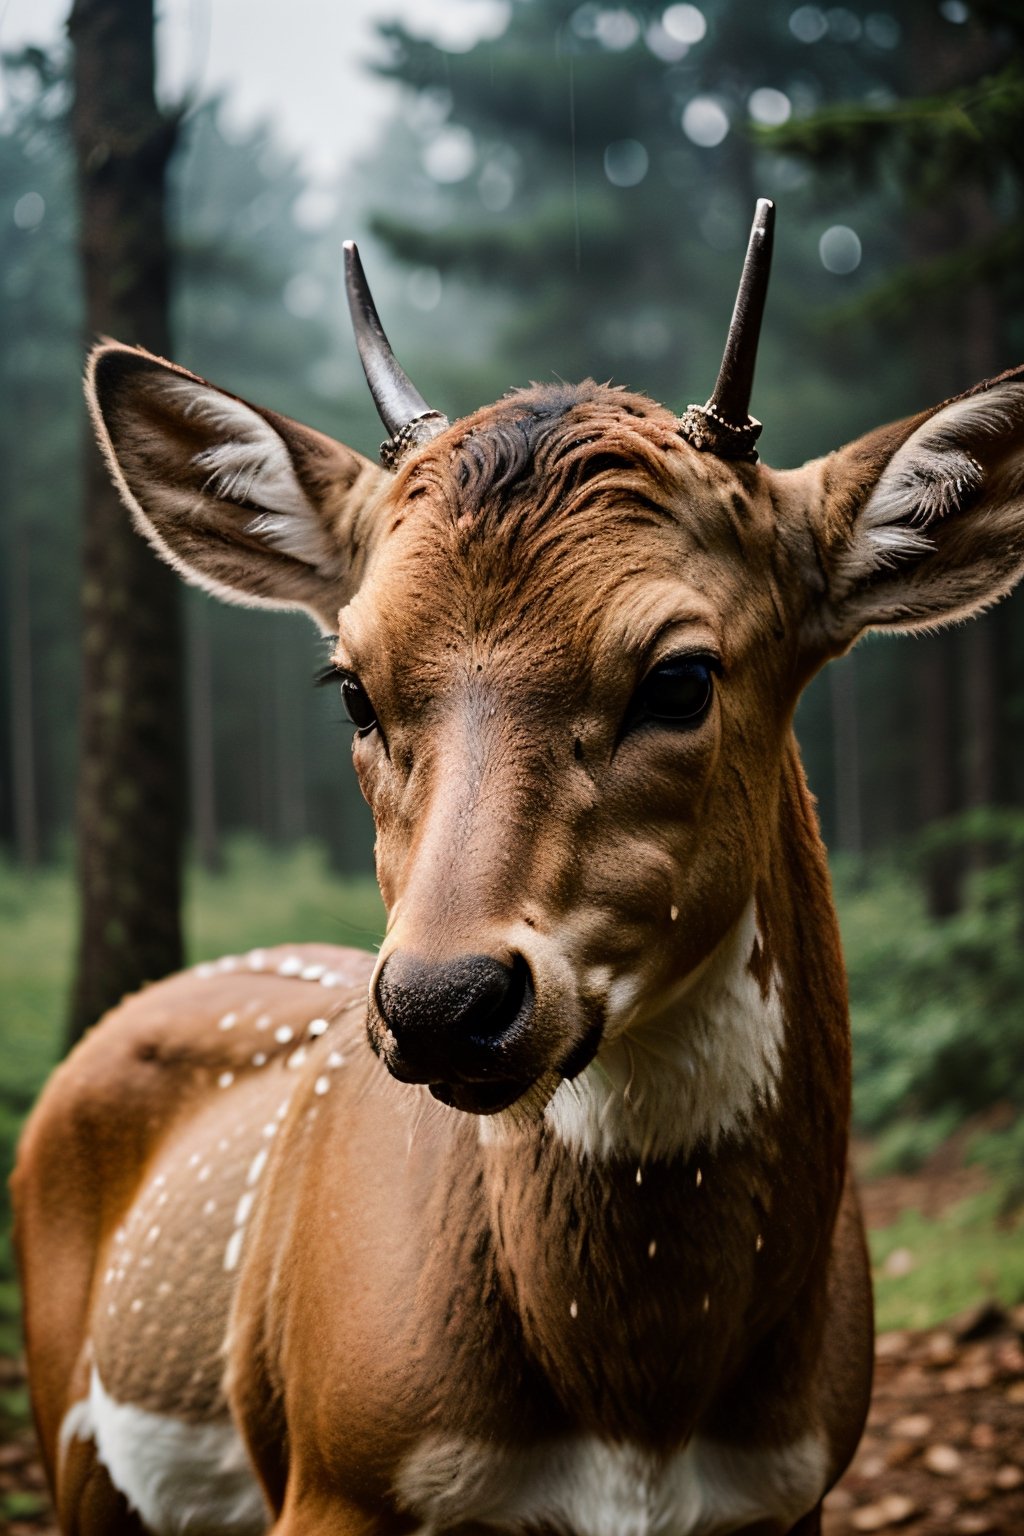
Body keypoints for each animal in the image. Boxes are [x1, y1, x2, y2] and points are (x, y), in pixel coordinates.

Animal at [13, 198, 1024, 1536]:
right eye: (351, 686)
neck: (640, 1428)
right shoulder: (338, 1475)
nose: (444, 1003)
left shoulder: (798, 1483)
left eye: (680, 676)